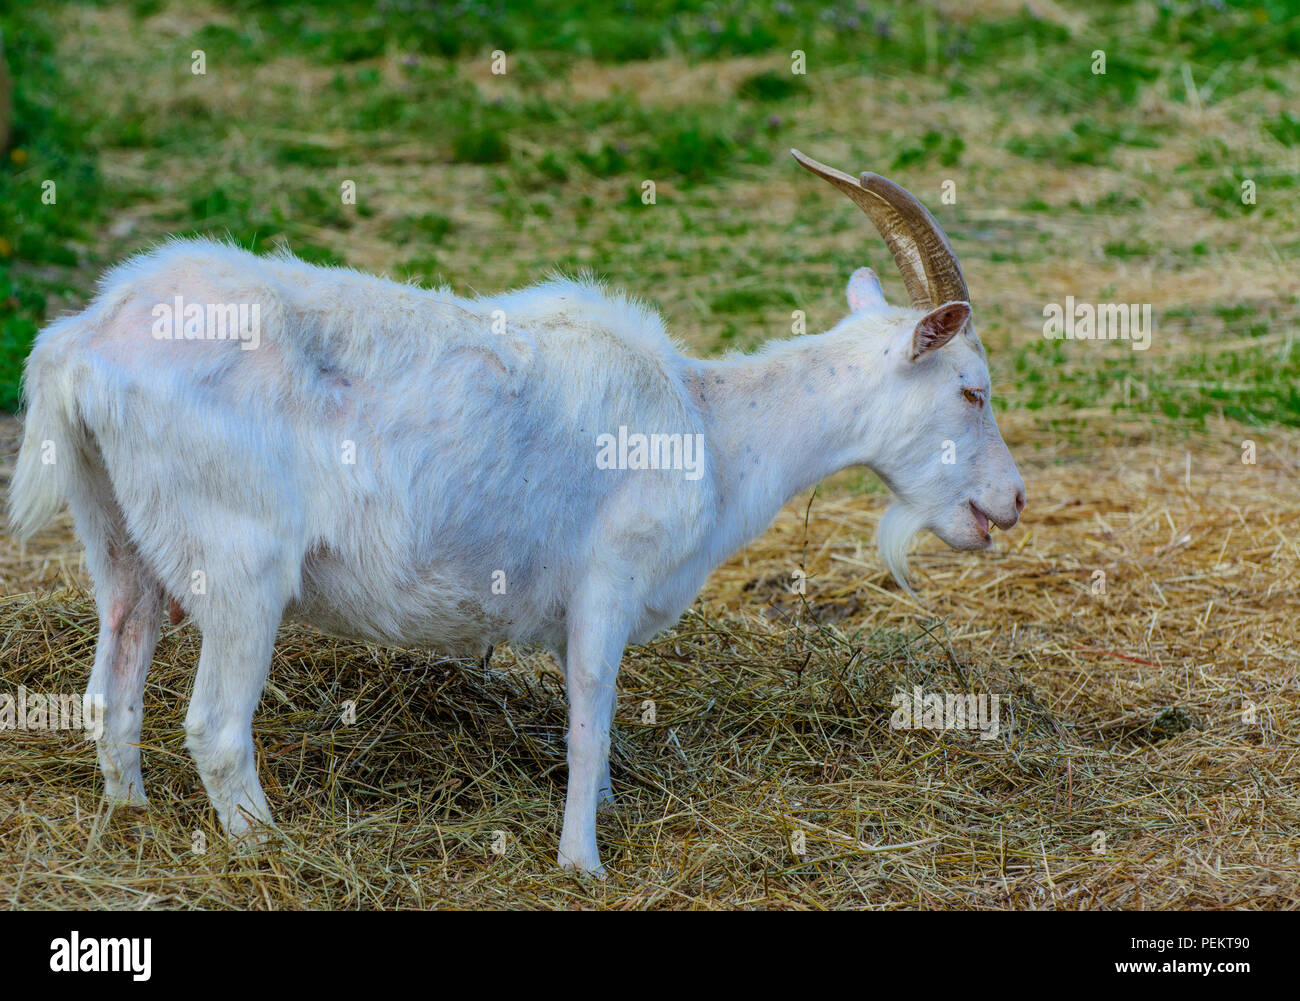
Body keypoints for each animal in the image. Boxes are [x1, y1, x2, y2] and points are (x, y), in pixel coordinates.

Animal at [9, 150, 1025, 875]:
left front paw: (604, 813)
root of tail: (85, 339)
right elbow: (590, 708)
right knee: (216, 725)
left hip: (119, 533)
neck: (710, 423)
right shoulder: (608, 579)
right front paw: (584, 861)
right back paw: (271, 848)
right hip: (239, 559)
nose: (1011, 501)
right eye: (972, 390)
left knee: (112, 682)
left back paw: (131, 814)